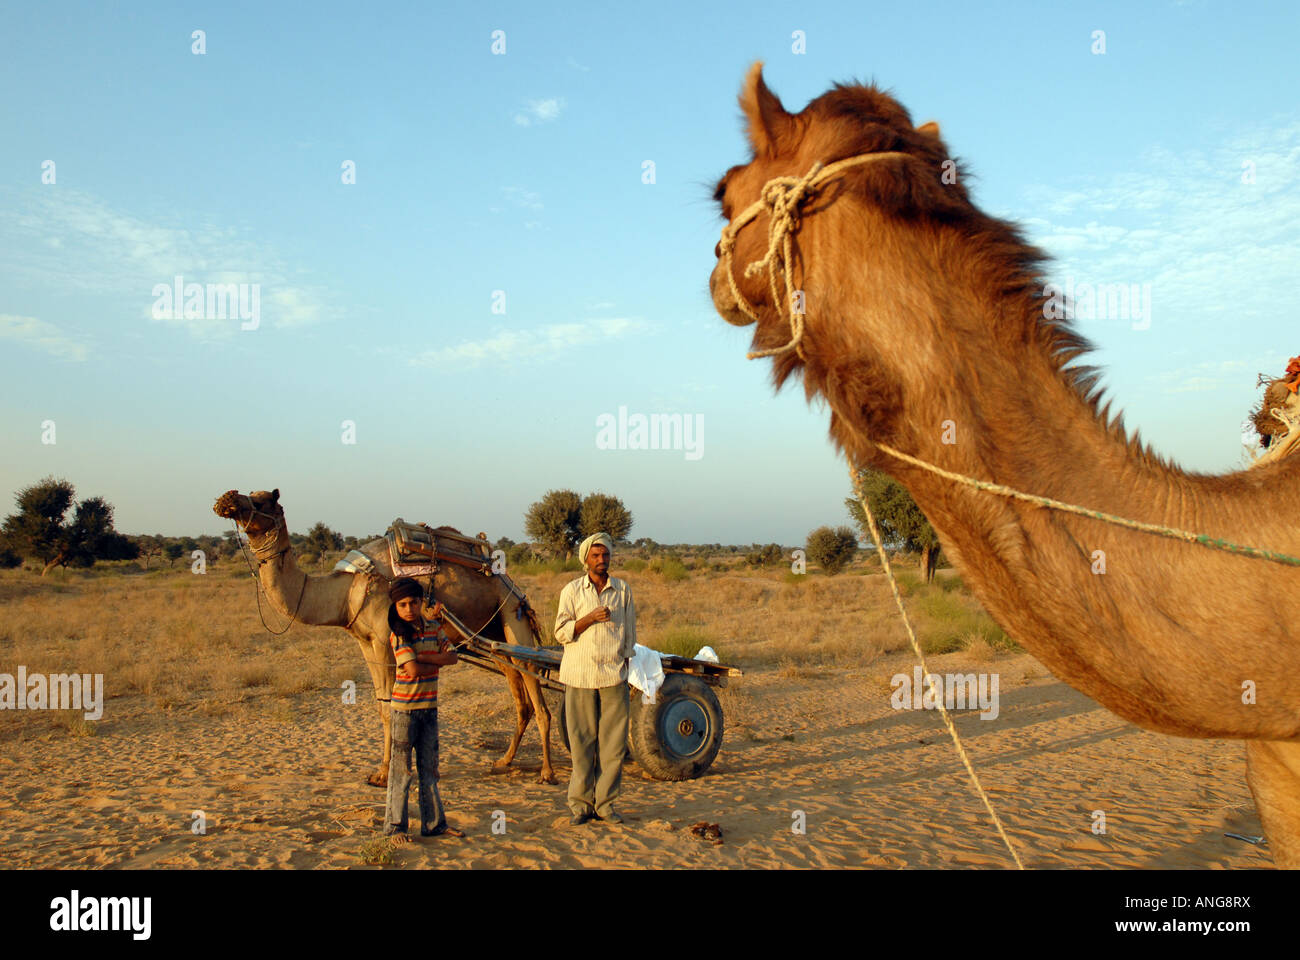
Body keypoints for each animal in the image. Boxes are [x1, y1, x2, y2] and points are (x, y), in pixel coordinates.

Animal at [212, 489, 558, 786]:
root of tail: (511, 584)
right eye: (248, 494)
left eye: (263, 501)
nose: (225, 499)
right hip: (495, 638)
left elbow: (393, 705)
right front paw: (379, 771)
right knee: (521, 700)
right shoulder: (366, 643)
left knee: (540, 701)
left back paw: (547, 772)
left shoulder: (382, 640)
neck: (345, 591)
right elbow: (381, 706)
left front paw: (386, 775)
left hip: (512, 618)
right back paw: (503, 761)